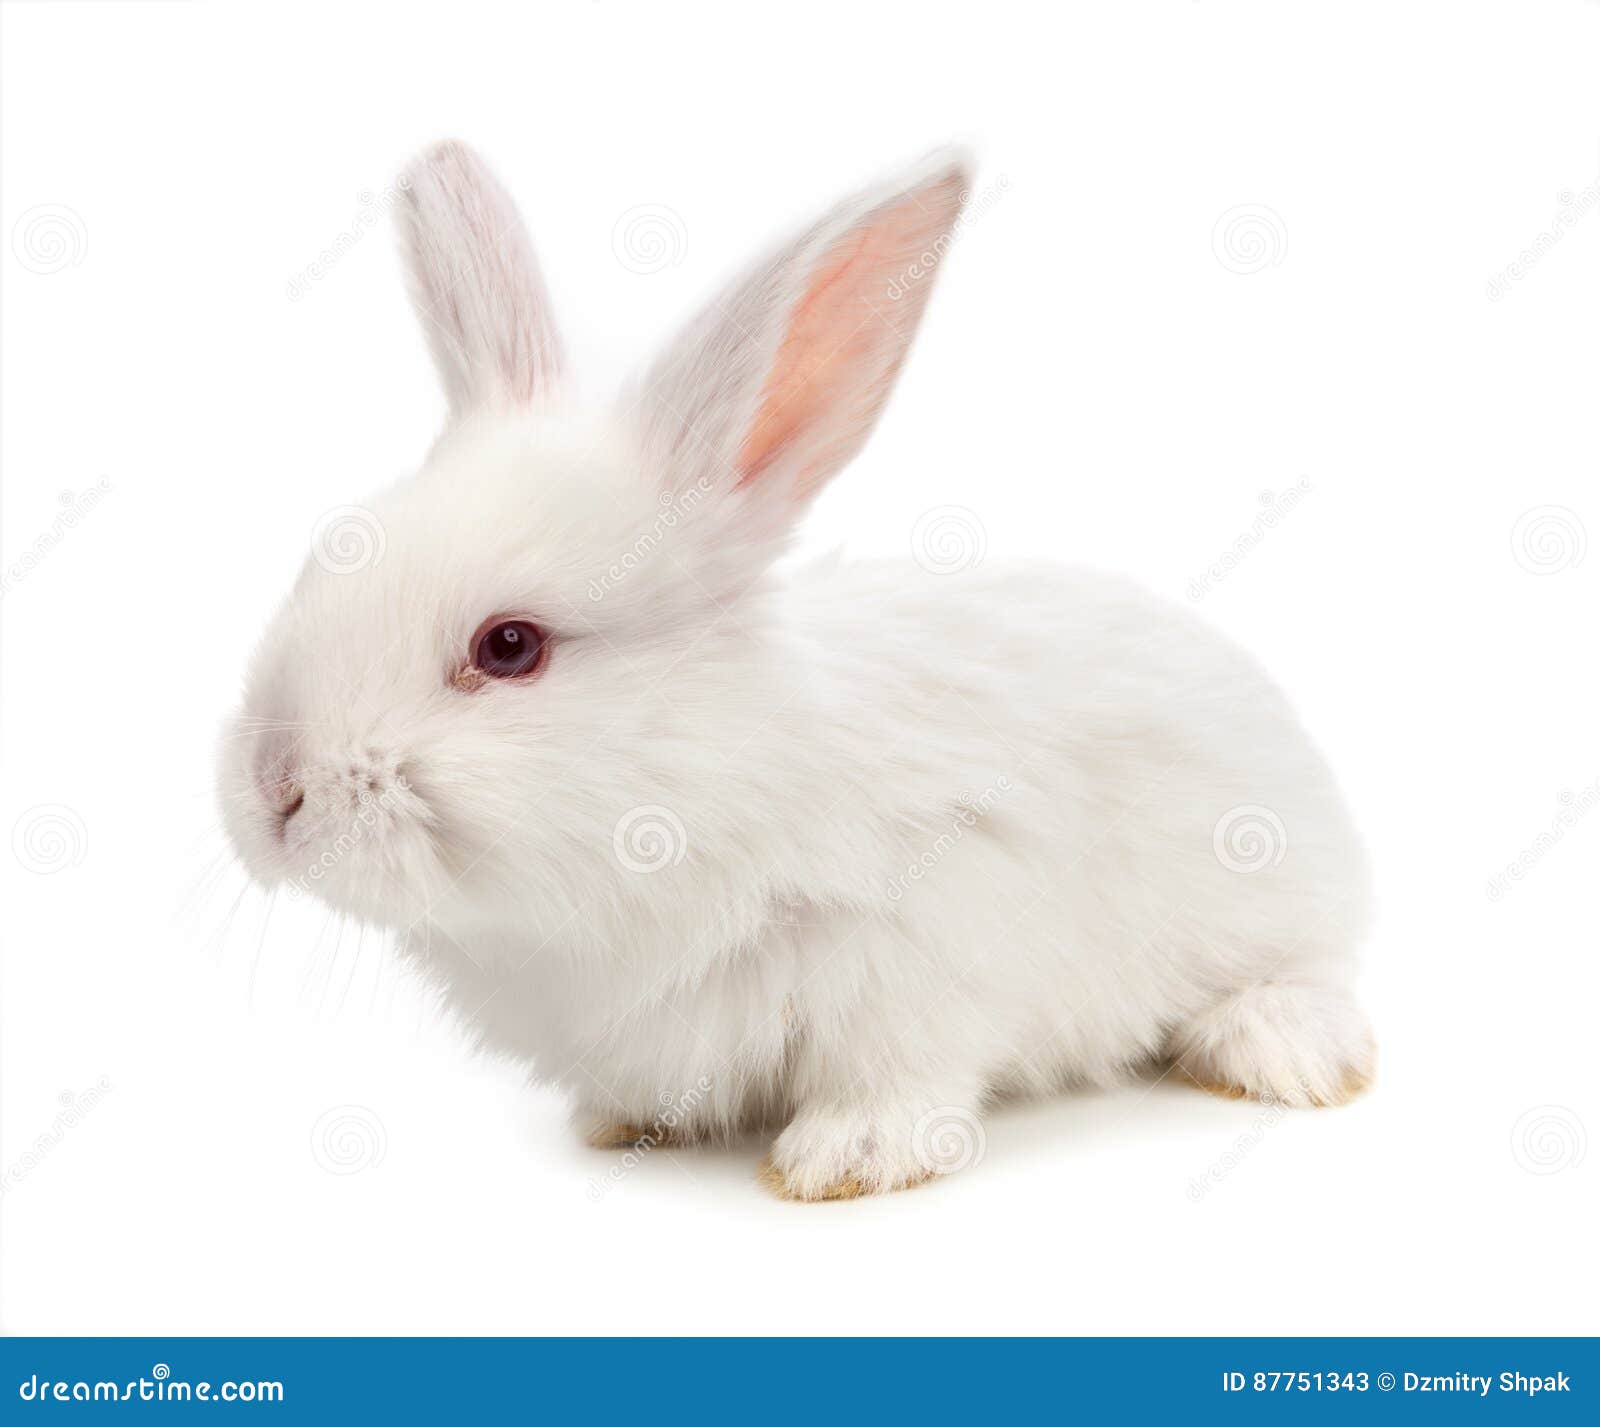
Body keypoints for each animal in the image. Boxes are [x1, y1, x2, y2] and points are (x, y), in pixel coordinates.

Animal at [220, 139, 1374, 1201]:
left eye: (510, 646)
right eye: (323, 559)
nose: (274, 791)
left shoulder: (923, 952)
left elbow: (900, 1074)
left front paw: (847, 1159)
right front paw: (617, 1123)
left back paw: (1280, 1050)